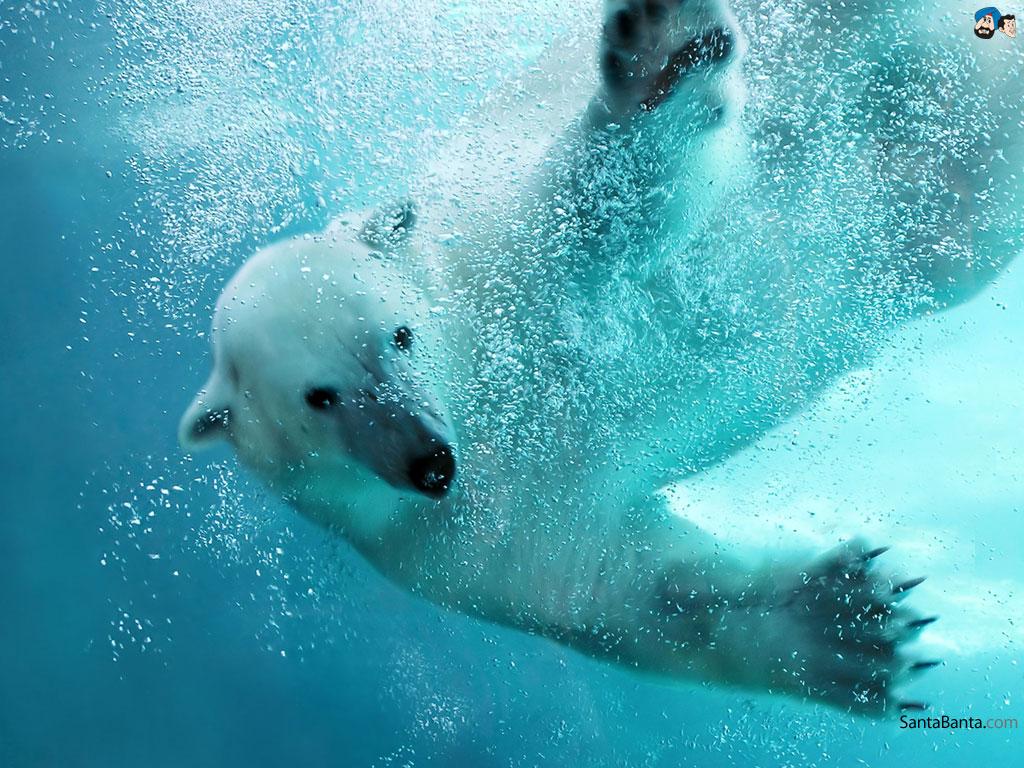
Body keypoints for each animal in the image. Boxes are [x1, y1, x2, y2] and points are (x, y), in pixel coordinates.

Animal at [180, 0, 1020, 714]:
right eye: (319, 398)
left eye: (399, 335)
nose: (432, 462)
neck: (479, 386)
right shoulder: (456, 543)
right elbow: (628, 591)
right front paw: (850, 626)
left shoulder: (505, 252)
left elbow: (610, 197)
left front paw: (663, 54)